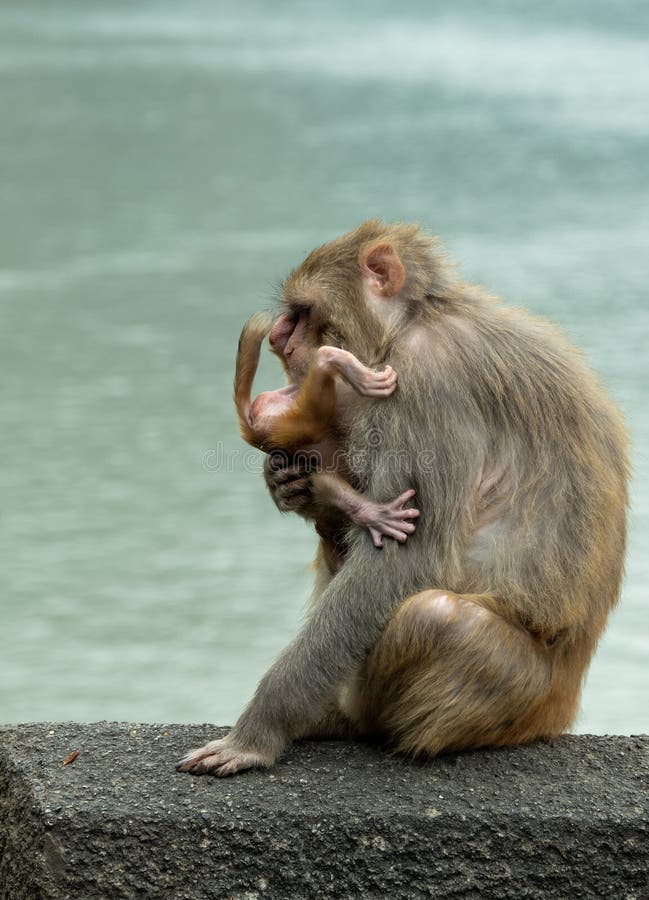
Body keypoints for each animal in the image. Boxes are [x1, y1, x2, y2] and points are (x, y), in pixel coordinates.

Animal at [233, 311, 420, 549]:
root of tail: (251, 423)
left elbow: (320, 482)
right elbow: (322, 482)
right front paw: (373, 516)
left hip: (286, 403)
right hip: (289, 421)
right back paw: (335, 362)